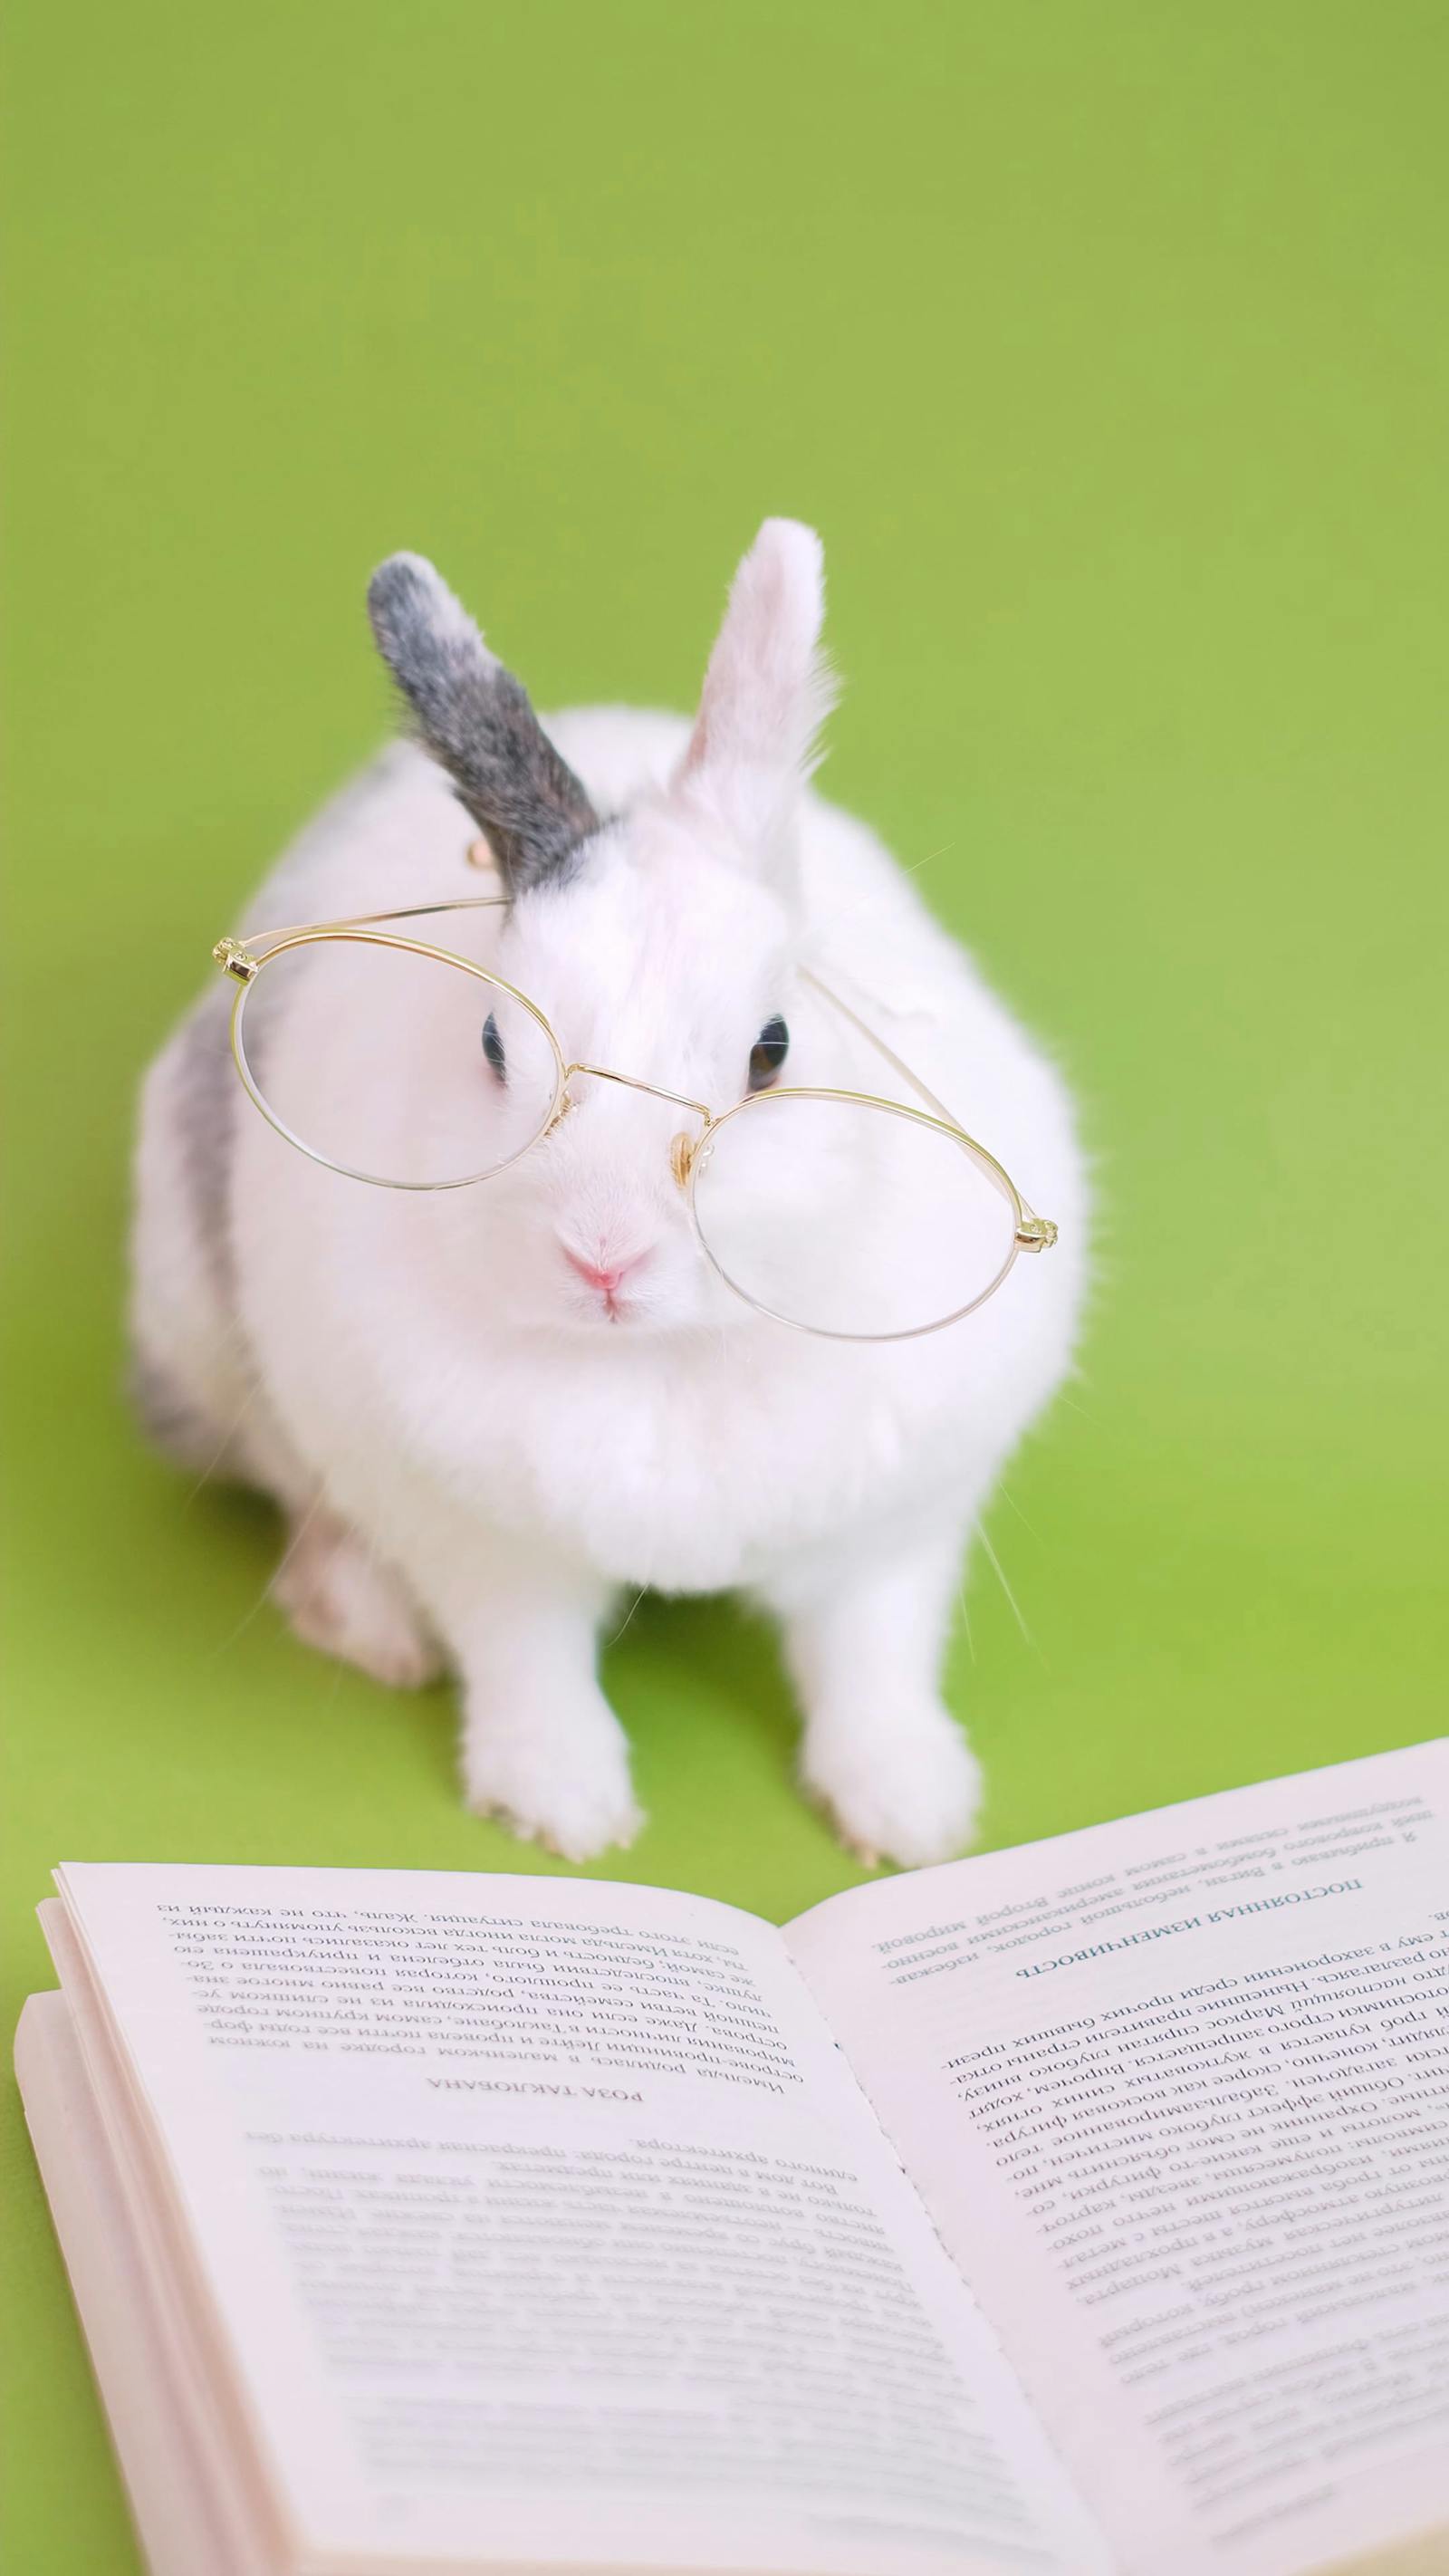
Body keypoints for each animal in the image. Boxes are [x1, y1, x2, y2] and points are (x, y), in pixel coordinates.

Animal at [130, 519, 1087, 1868]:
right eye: (493, 1047)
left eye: (773, 1050)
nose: (603, 1255)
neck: (664, 1360)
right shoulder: (479, 1540)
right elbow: (528, 1665)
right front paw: (565, 1812)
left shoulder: (892, 1538)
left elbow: (872, 1665)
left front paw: (912, 1818)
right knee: (294, 1495)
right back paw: (372, 1622)